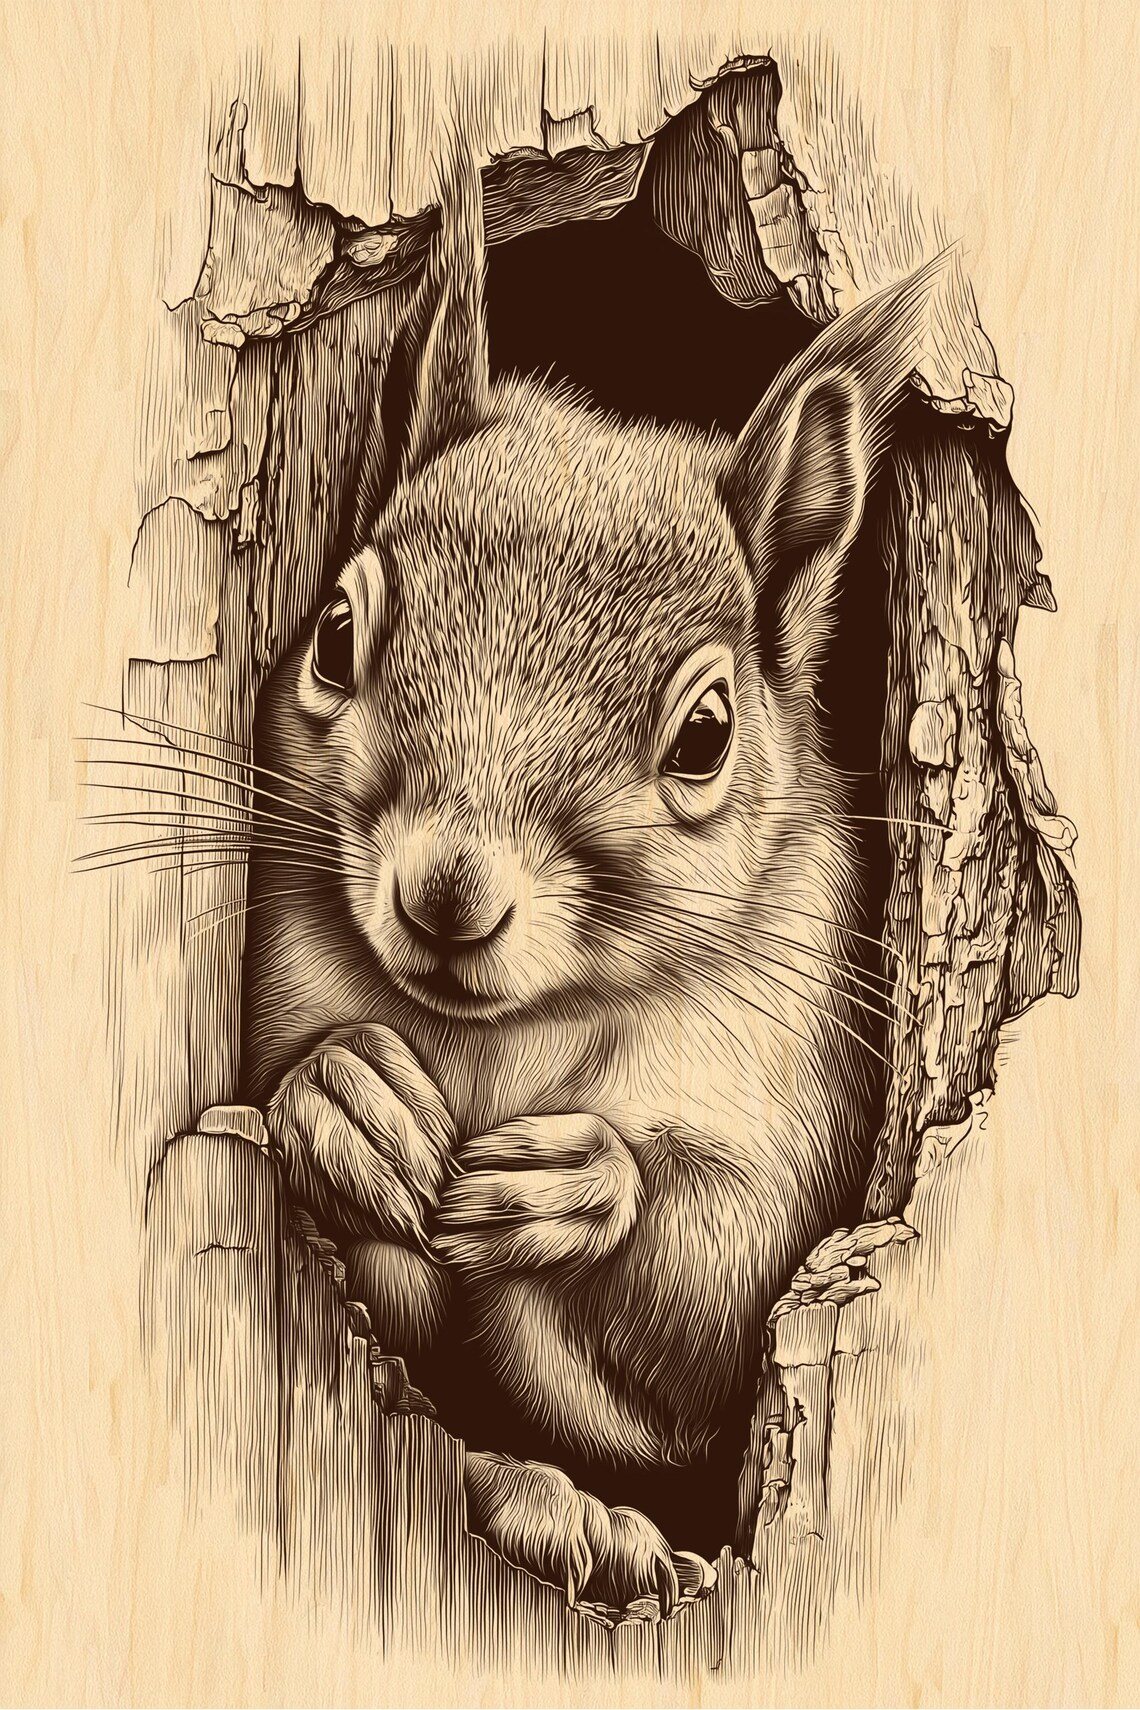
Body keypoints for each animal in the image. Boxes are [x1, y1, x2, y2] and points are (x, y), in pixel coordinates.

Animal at [239, 156, 938, 1619]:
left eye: (707, 733)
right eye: (334, 633)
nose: (447, 898)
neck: (509, 1035)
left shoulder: (798, 1084)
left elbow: (728, 1286)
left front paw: (574, 1181)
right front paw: (347, 1099)